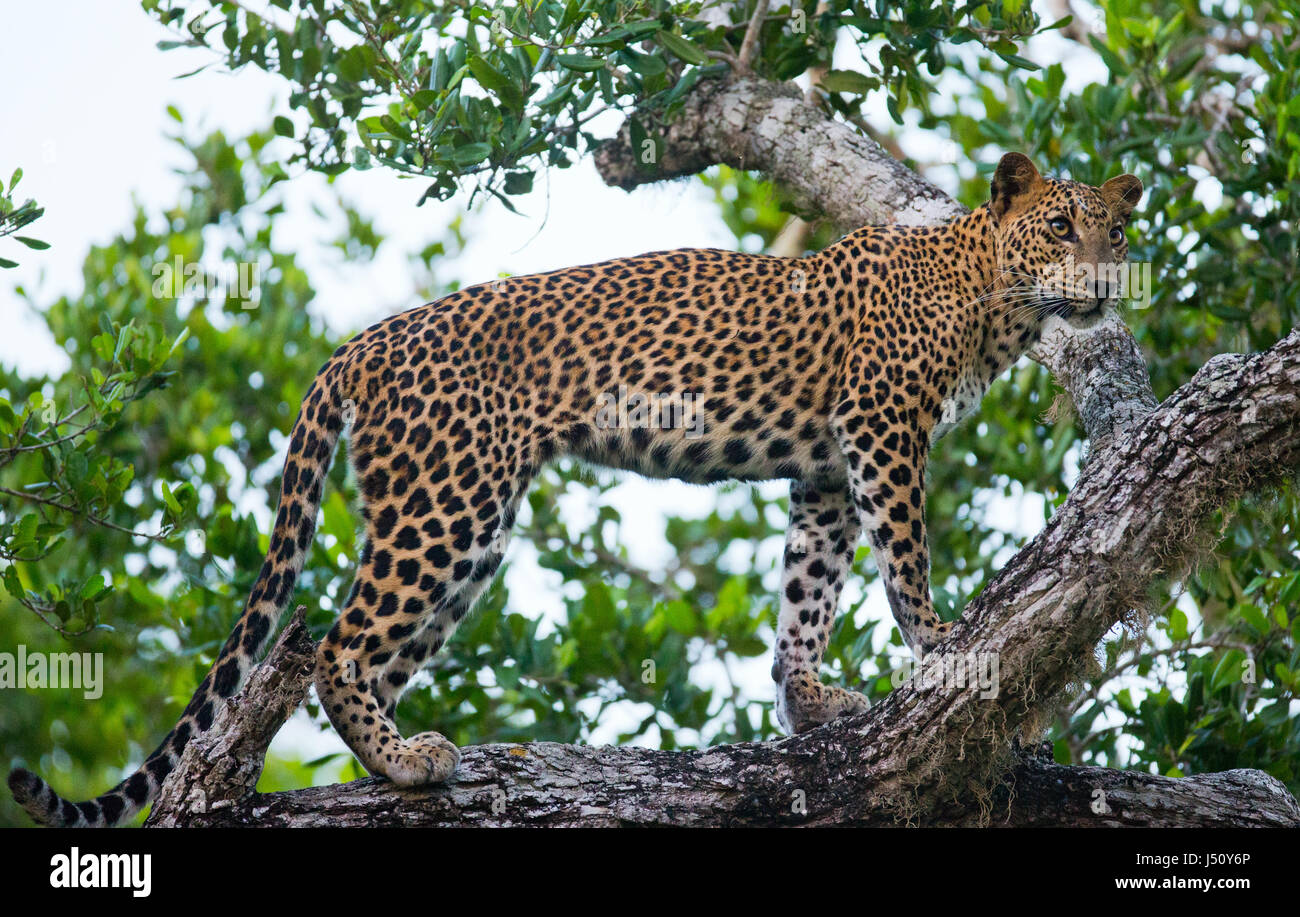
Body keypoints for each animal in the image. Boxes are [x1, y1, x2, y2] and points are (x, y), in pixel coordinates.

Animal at [9, 152, 1141, 826]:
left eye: (1113, 232)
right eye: (1056, 227)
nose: (1099, 281)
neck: (992, 299)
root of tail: (364, 340)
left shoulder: (826, 466)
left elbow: (807, 588)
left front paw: (808, 697)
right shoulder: (882, 426)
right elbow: (903, 552)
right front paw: (942, 637)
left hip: (459, 524)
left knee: (368, 645)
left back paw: (402, 757)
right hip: (448, 503)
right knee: (336, 641)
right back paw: (401, 762)